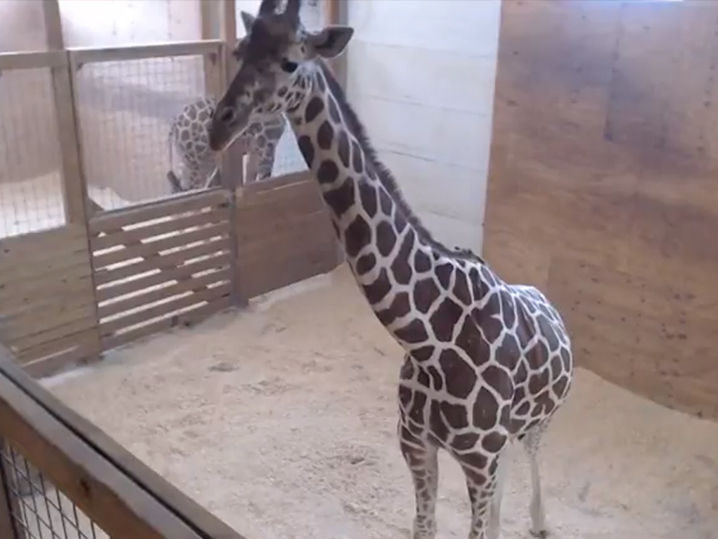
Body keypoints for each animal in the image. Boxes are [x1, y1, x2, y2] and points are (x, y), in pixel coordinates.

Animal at [208, 3, 574, 538]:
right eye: (240, 51)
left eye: (291, 62)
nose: (219, 127)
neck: (428, 340)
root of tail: (551, 305)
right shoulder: (416, 444)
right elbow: (425, 526)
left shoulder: (477, 459)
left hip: (537, 421)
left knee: (531, 455)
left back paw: (542, 522)